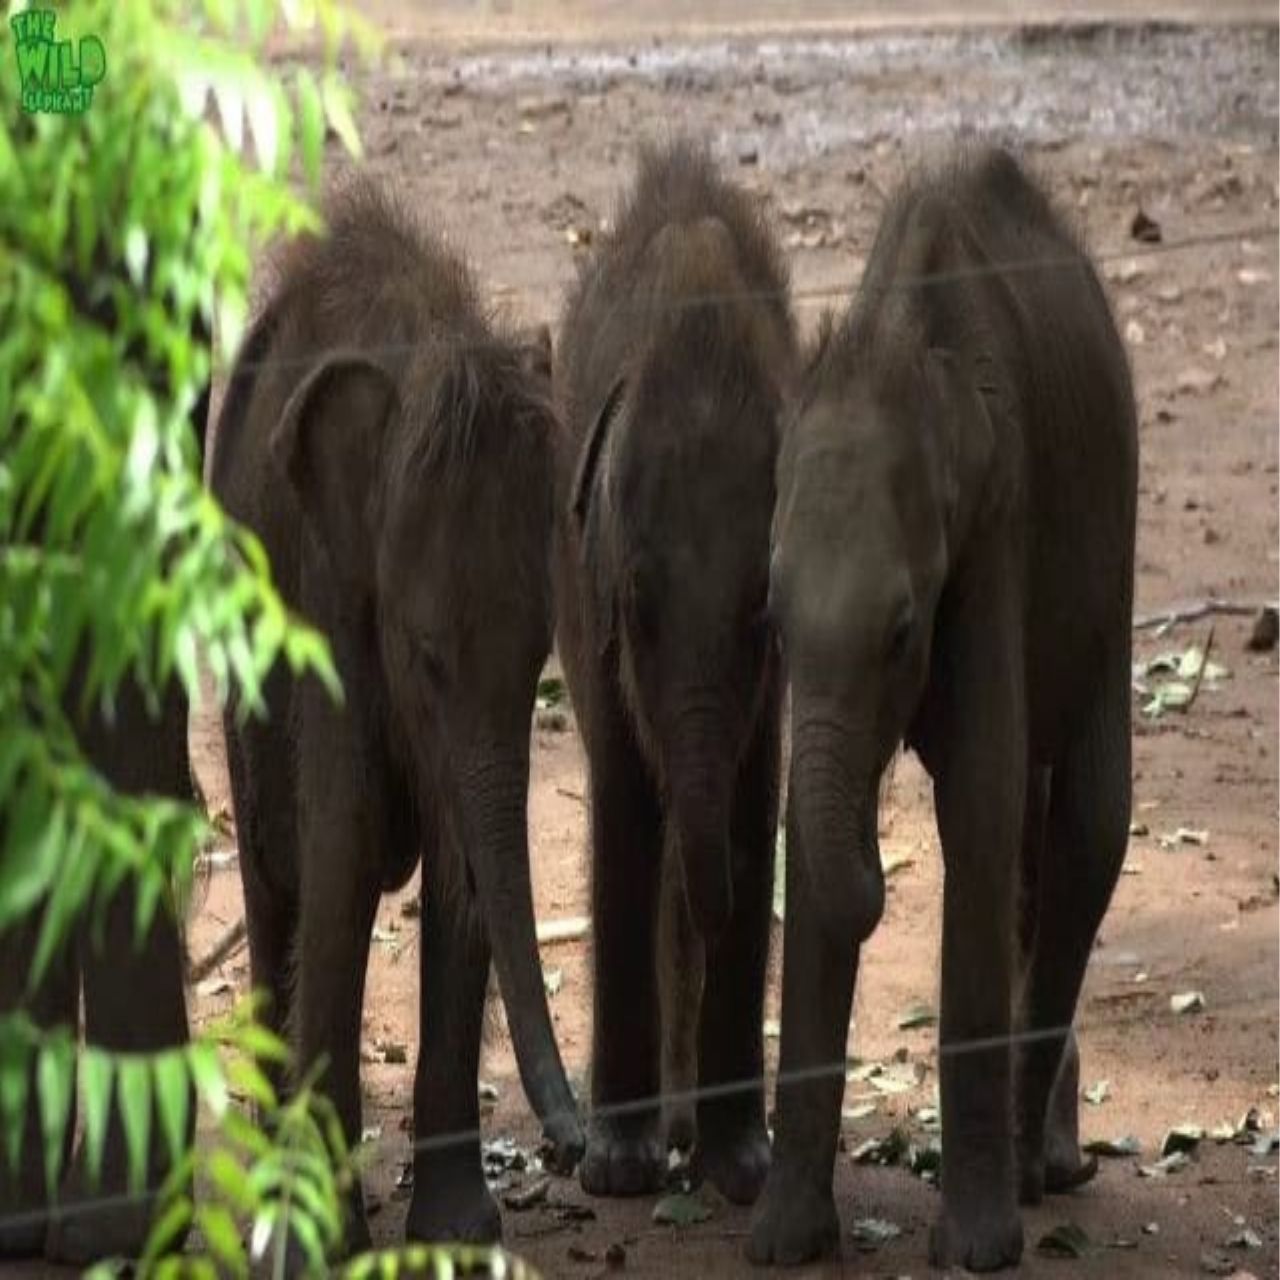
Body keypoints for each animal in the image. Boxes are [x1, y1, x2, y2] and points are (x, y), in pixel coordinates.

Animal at [210, 176, 583, 1257]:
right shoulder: (328, 596)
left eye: (541, 655)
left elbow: (462, 870)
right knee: (275, 870)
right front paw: (322, 1243)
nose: (582, 1146)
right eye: (422, 657)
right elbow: (339, 853)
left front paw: (459, 1232)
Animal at [751, 148, 1136, 1270]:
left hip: (1113, 538)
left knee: (1084, 821)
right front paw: (783, 1242)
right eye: (770, 621)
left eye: (900, 631)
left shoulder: (1000, 532)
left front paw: (976, 1249)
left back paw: (1039, 1172)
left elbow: (977, 802)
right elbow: (815, 829)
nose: (882, 874)